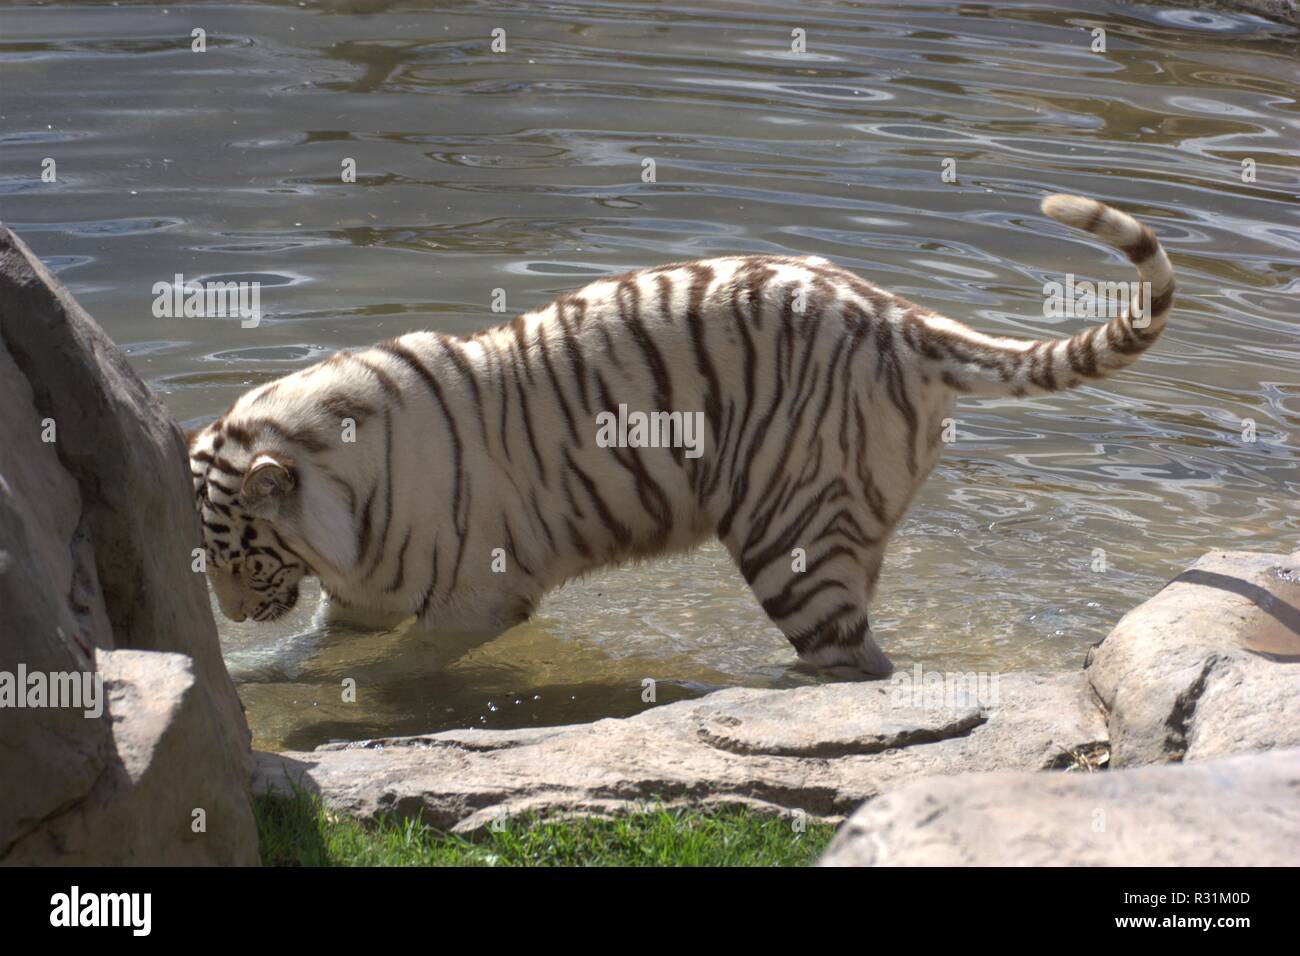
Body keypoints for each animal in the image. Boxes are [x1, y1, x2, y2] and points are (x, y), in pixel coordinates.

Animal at [188, 194, 1174, 677]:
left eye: (241, 556)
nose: (226, 615)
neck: (342, 489)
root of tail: (902, 317)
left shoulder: (478, 596)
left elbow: (404, 666)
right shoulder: (362, 595)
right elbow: (319, 644)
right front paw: (258, 671)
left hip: (791, 538)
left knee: (854, 660)